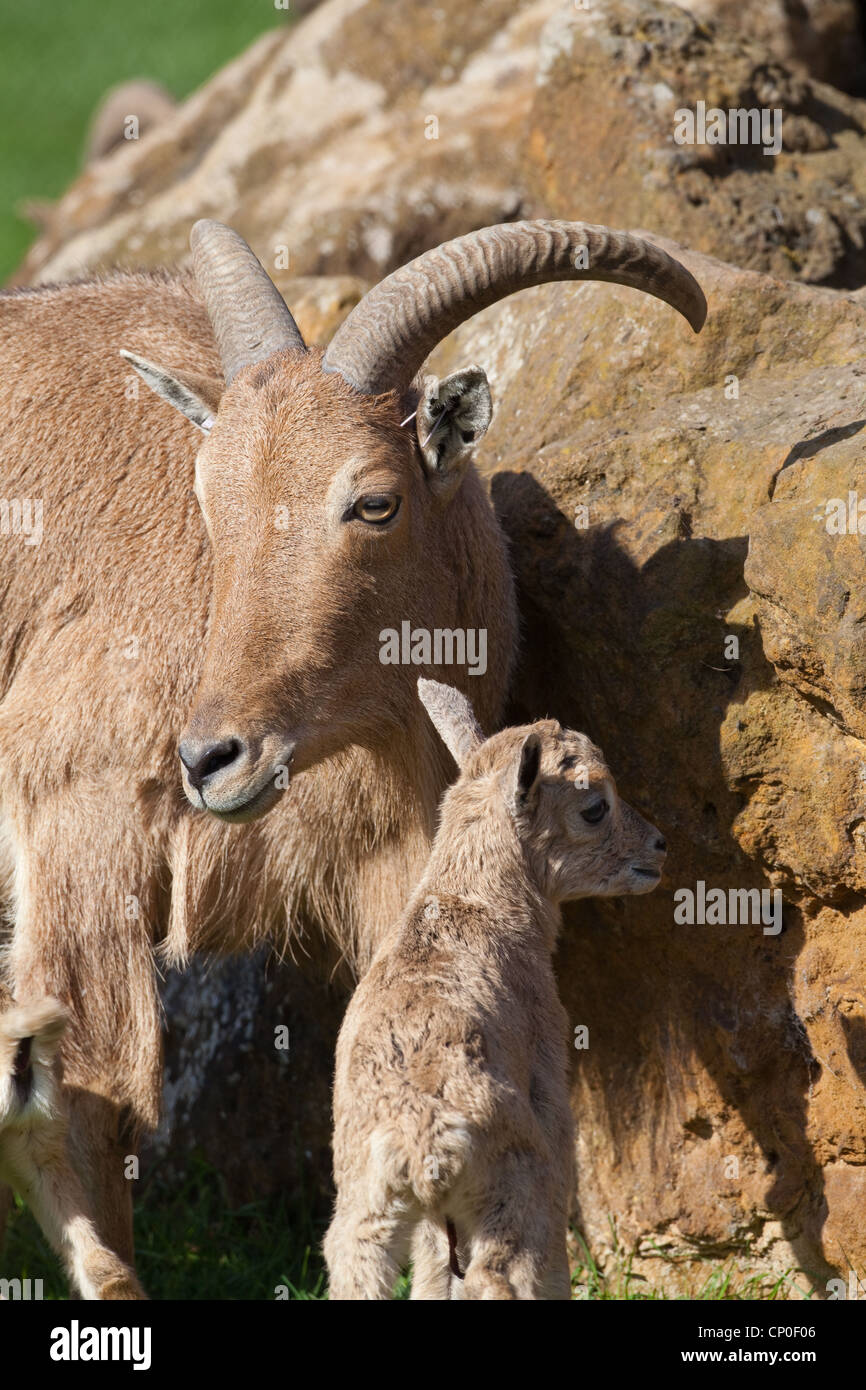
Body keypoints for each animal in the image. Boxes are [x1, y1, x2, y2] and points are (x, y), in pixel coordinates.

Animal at [324, 678, 667, 1300]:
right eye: (594, 807)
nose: (658, 847)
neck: (477, 910)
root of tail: (425, 1146)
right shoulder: (552, 1092)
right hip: (512, 1192)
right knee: (501, 1276)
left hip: (367, 1219)